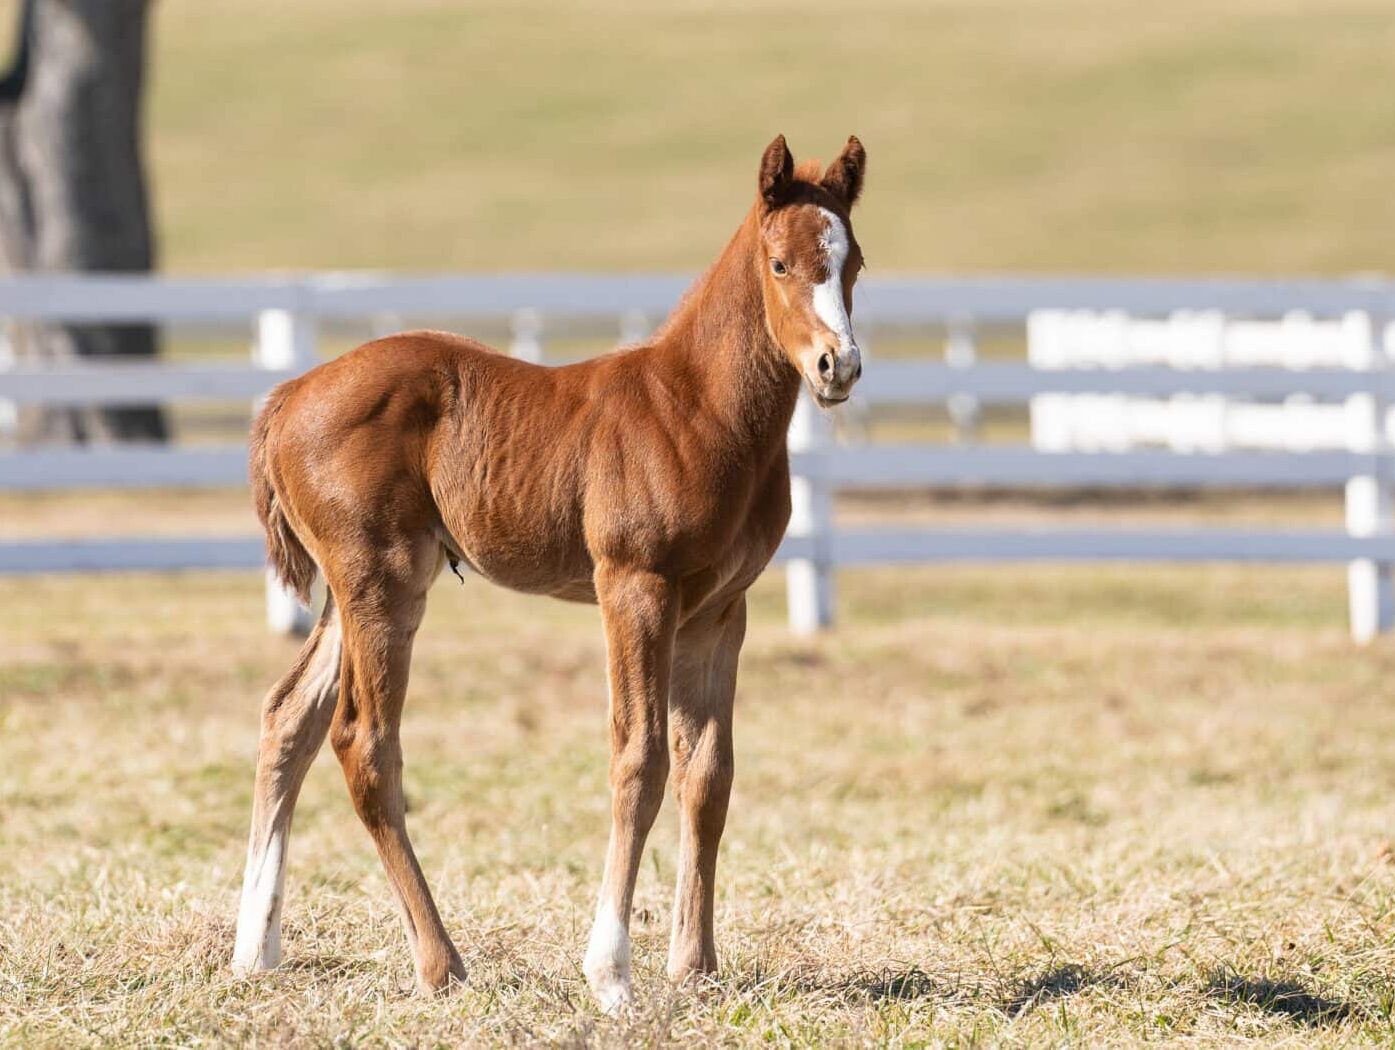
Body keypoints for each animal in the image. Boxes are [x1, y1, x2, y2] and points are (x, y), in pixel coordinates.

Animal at [230, 134, 867, 1010]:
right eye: (779, 263)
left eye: (852, 263)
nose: (839, 366)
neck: (695, 408)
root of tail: (287, 396)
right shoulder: (633, 586)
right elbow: (639, 758)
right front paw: (612, 973)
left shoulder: (718, 610)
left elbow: (708, 773)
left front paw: (695, 966)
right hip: (379, 582)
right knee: (364, 739)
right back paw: (441, 964)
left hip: (364, 586)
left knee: (288, 716)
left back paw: (255, 951)